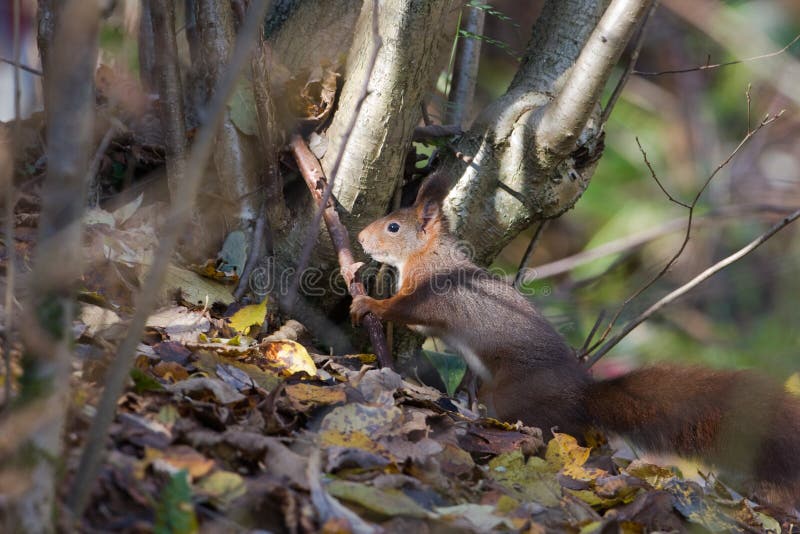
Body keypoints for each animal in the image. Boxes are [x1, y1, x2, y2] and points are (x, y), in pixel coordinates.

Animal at [350, 171, 800, 508]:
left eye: (393, 226)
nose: (359, 238)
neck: (427, 255)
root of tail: (581, 393)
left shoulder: (434, 295)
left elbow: (408, 312)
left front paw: (369, 303)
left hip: (515, 395)